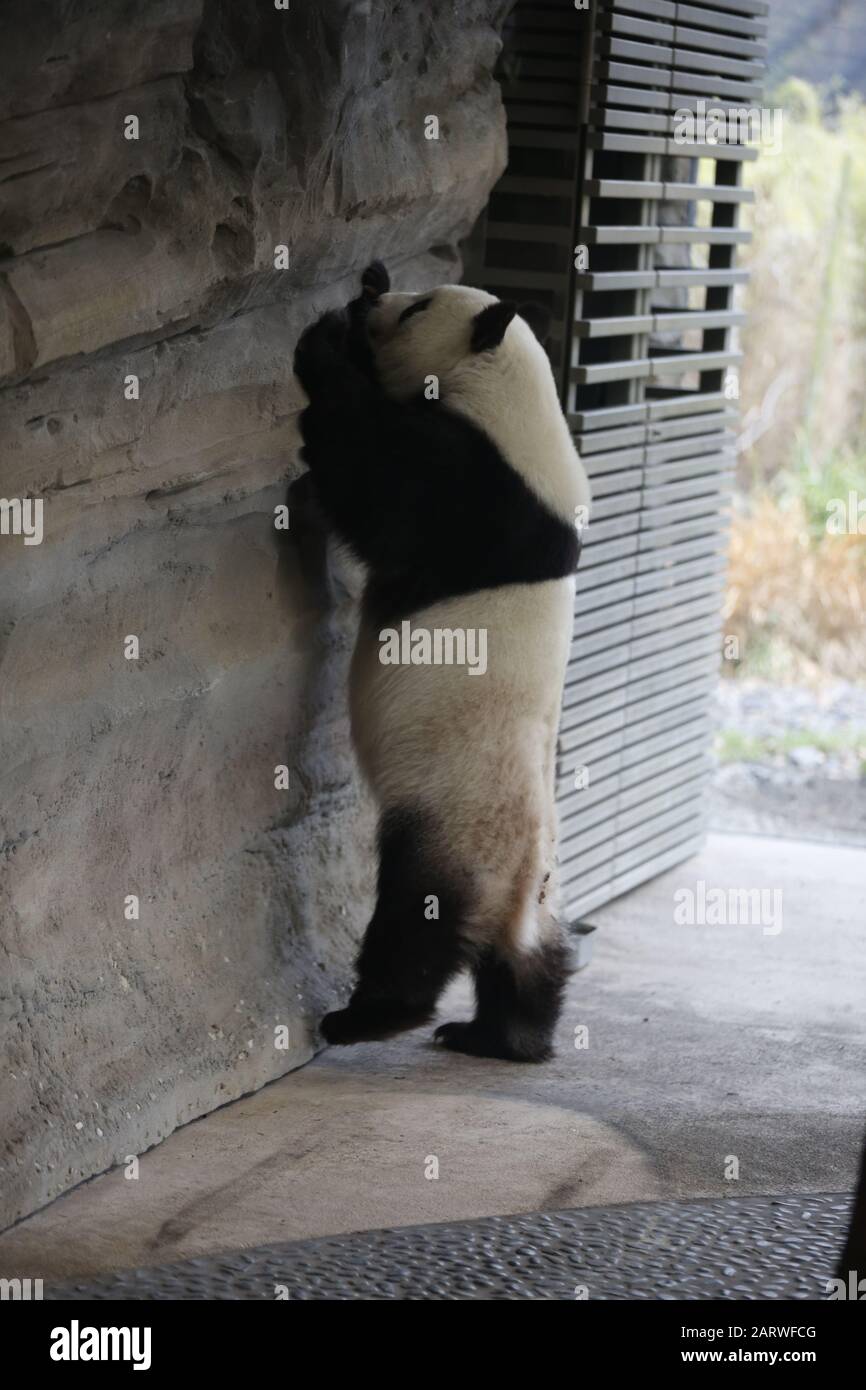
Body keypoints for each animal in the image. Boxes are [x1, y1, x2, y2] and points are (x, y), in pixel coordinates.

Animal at [292, 261, 590, 1061]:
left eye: (417, 307)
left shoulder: (476, 493)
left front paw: (324, 346)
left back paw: (367, 1017)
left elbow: (380, 488)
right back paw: (502, 1037)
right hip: (539, 886)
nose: (372, 290)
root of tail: (516, 890)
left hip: (453, 826)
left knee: (415, 923)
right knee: (534, 962)